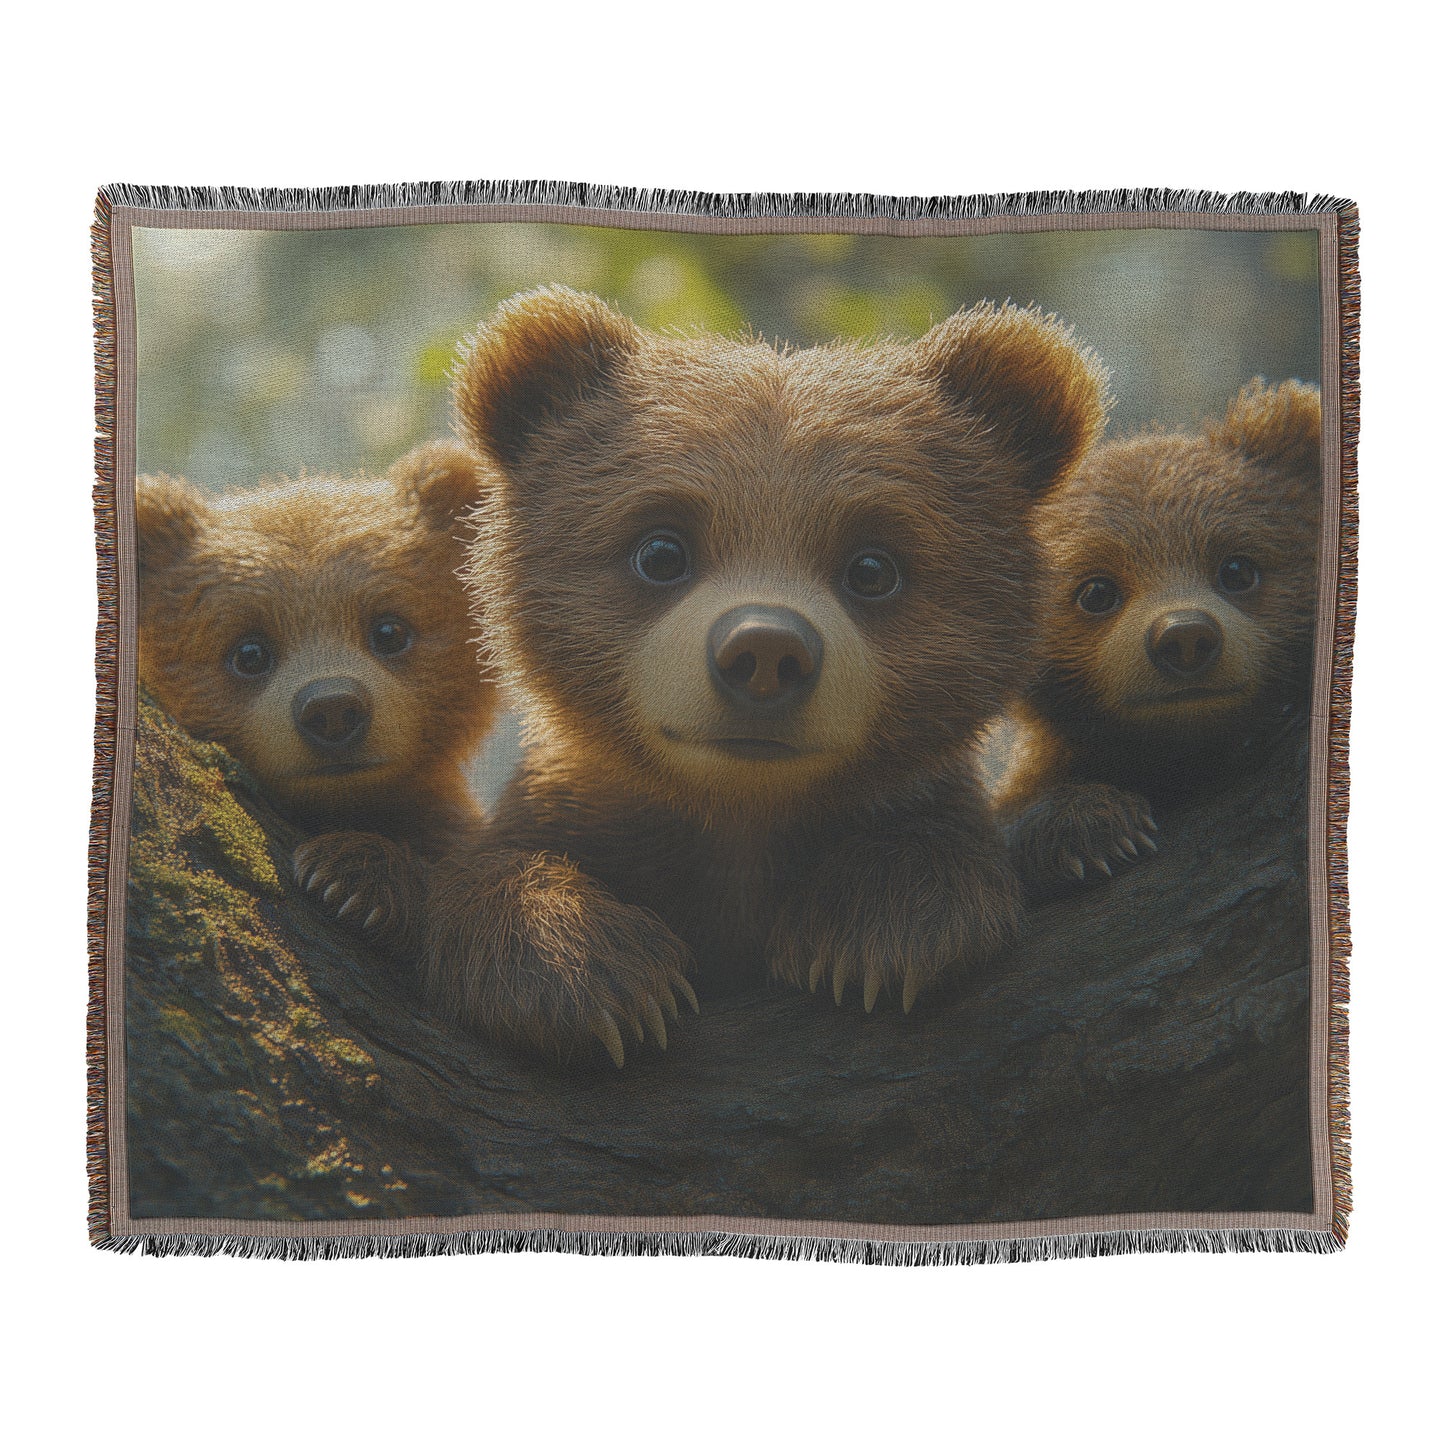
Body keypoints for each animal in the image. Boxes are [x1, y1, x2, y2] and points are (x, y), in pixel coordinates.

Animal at [304, 286, 1109, 1066]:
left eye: (872, 566)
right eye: (661, 549)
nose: (764, 651)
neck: (738, 819)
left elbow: (927, 856)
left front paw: (872, 931)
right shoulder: (581, 816)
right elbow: (505, 882)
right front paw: (596, 978)